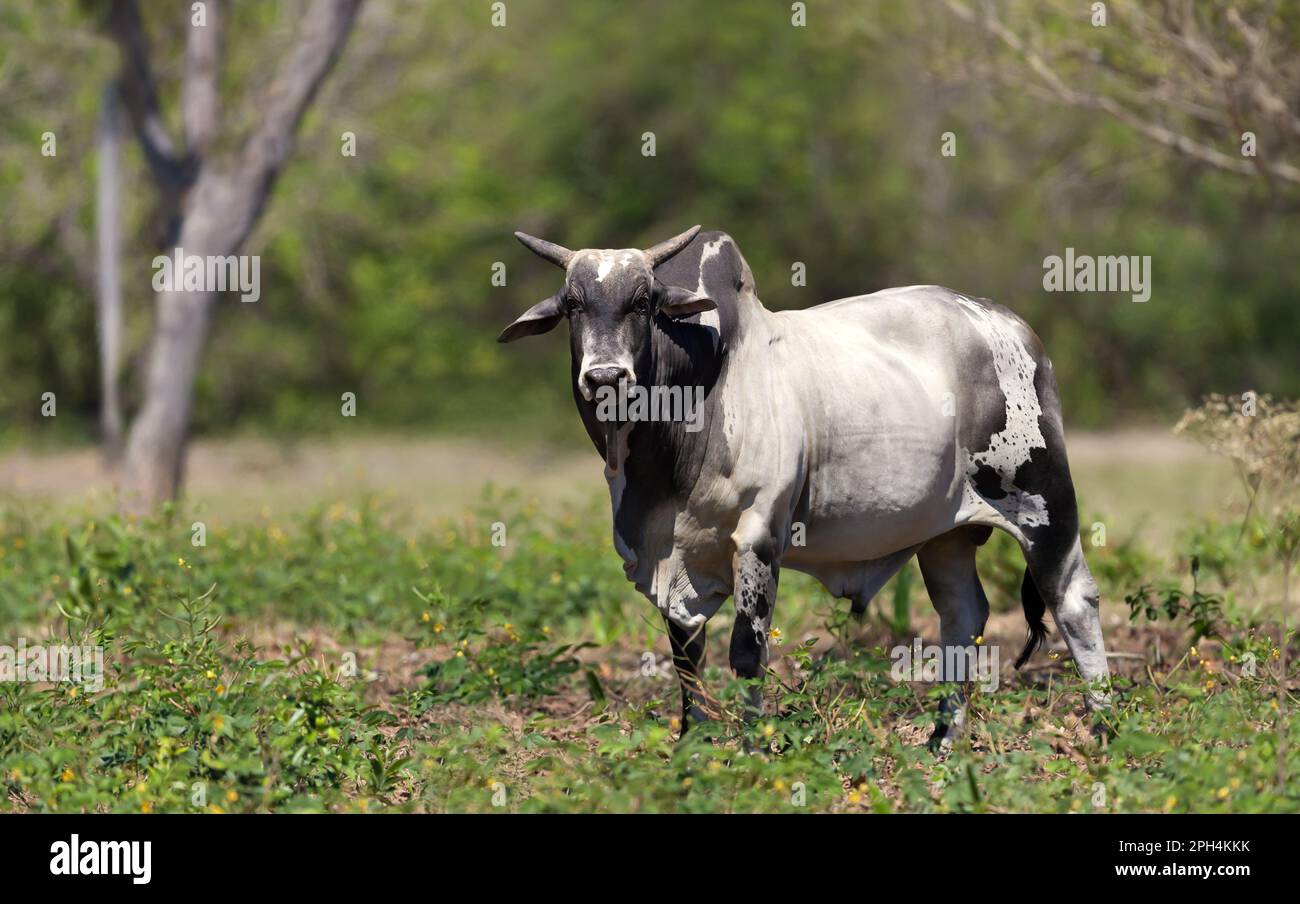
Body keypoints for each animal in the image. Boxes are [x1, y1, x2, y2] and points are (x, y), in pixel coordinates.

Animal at [499, 226, 1110, 751]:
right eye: (573, 303)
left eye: (644, 302)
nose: (605, 377)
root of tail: (1009, 324)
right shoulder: (671, 557)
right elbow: (686, 656)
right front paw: (692, 743)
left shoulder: (759, 533)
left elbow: (747, 652)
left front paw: (749, 749)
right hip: (946, 534)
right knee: (963, 615)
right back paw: (941, 742)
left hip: (1044, 502)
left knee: (1073, 602)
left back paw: (1104, 731)